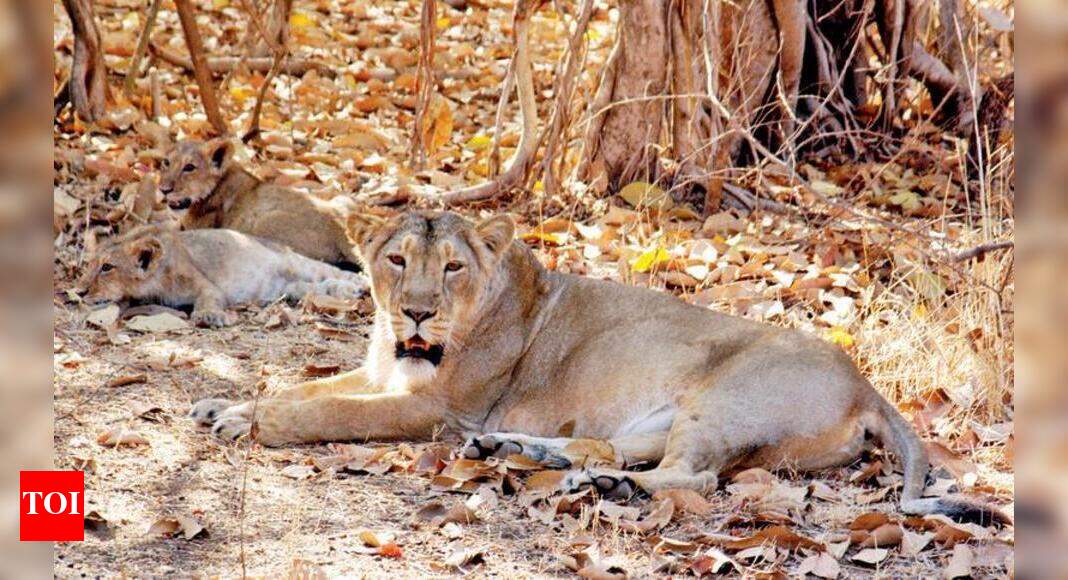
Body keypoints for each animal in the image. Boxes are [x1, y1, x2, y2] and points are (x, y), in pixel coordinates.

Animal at [80, 225, 368, 328]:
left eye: (107, 267)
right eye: (88, 265)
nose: (80, 291)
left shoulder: (205, 284)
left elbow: (207, 299)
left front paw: (210, 316)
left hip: (294, 261)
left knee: (332, 272)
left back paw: (359, 284)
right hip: (288, 288)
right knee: (314, 287)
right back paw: (345, 291)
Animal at [160, 139, 360, 266]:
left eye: (189, 167)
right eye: (166, 162)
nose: (163, 189)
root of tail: (339, 228)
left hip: (262, 224)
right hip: (343, 199)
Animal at [191, 210, 1007, 524]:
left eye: (451, 267)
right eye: (397, 260)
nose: (417, 313)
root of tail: (869, 384)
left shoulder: (437, 409)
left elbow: (321, 410)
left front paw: (248, 421)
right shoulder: (387, 377)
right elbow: (309, 386)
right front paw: (228, 405)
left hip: (725, 399)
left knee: (689, 478)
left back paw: (600, 486)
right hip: (669, 413)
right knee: (610, 445)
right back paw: (519, 451)